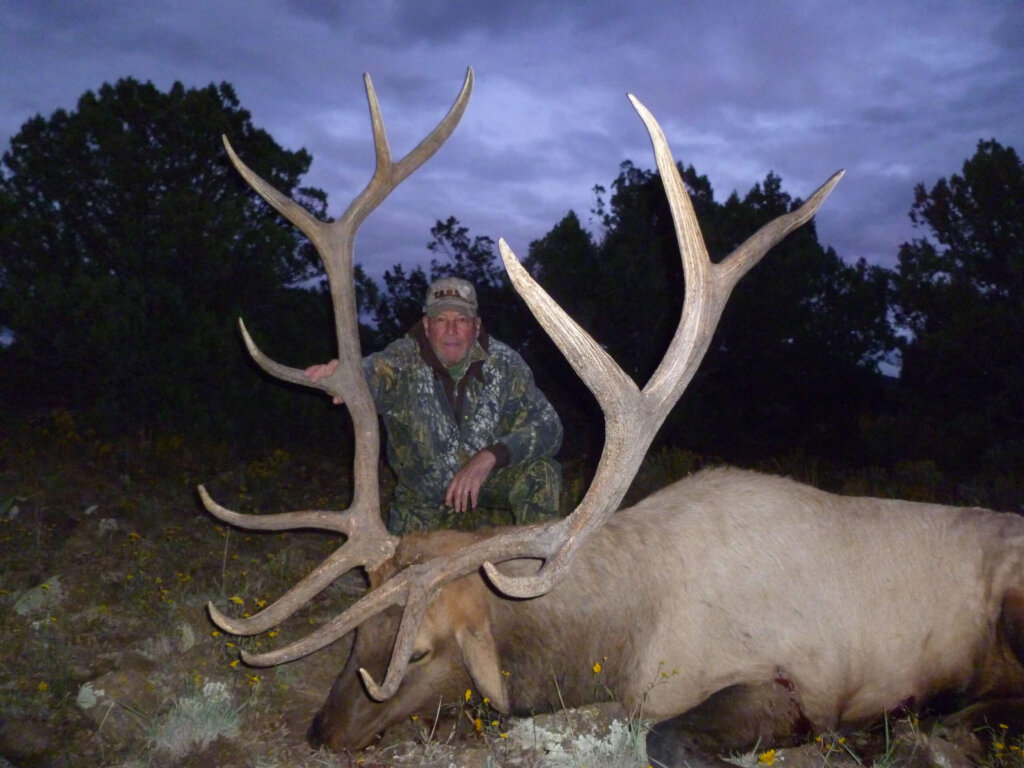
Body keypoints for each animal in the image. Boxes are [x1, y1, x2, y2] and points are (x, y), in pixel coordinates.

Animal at [198, 69, 1024, 766]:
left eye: (419, 652)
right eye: (356, 635)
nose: (320, 731)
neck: (622, 635)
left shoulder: (798, 678)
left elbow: (667, 737)